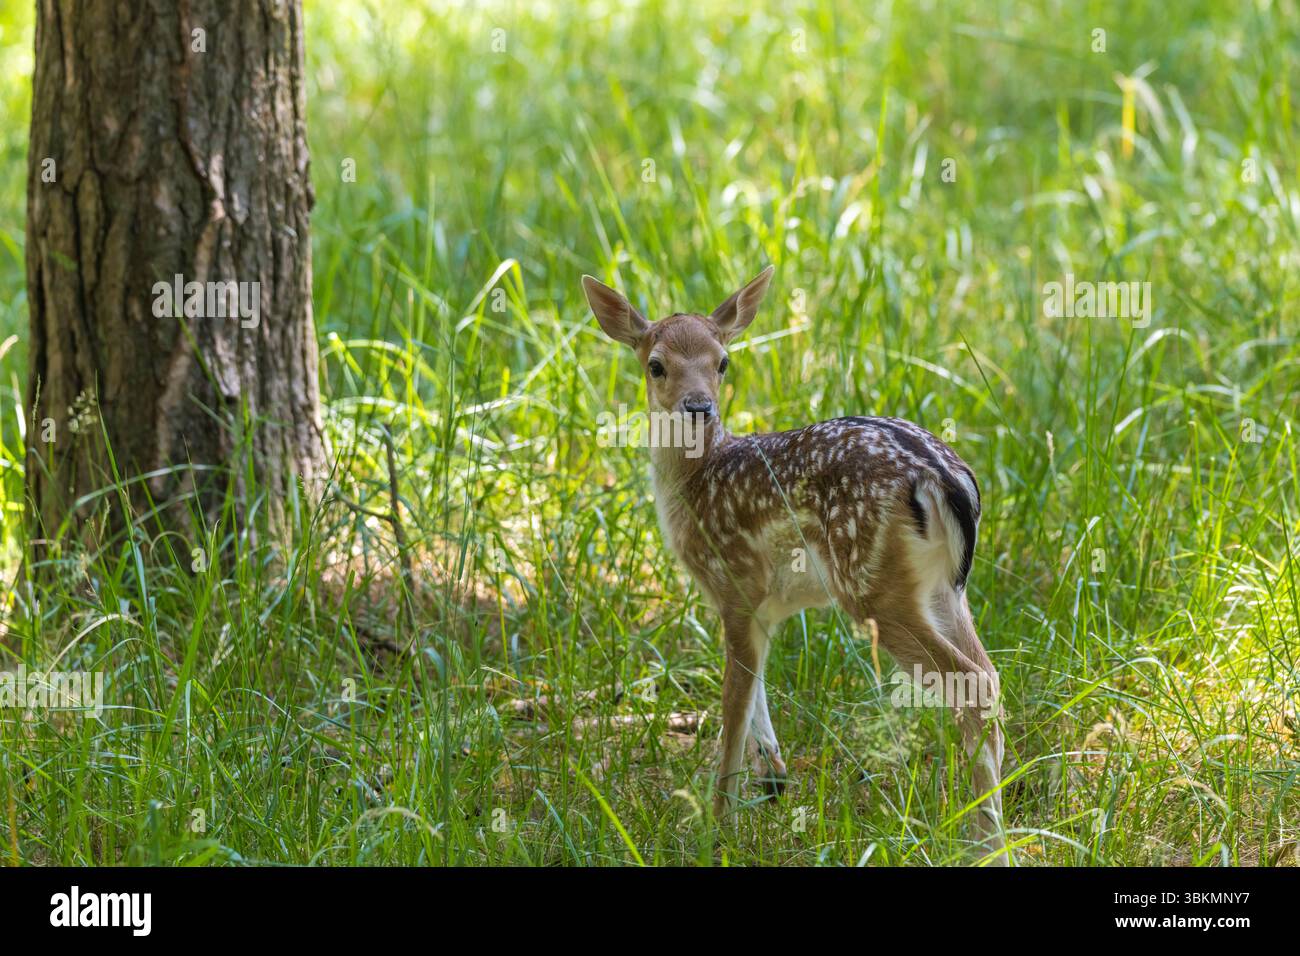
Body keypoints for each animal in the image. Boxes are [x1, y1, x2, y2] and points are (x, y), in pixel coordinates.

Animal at [582, 265, 1010, 864]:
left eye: (722, 361)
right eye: (656, 363)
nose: (698, 406)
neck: (694, 483)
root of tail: (945, 480)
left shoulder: (735, 584)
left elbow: (733, 708)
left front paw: (717, 824)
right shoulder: (765, 607)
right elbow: (758, 690)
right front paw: (774, 780)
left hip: (872, 585)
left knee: (973, 684)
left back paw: (986, 842)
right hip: (944, 591)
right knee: (990, 677)